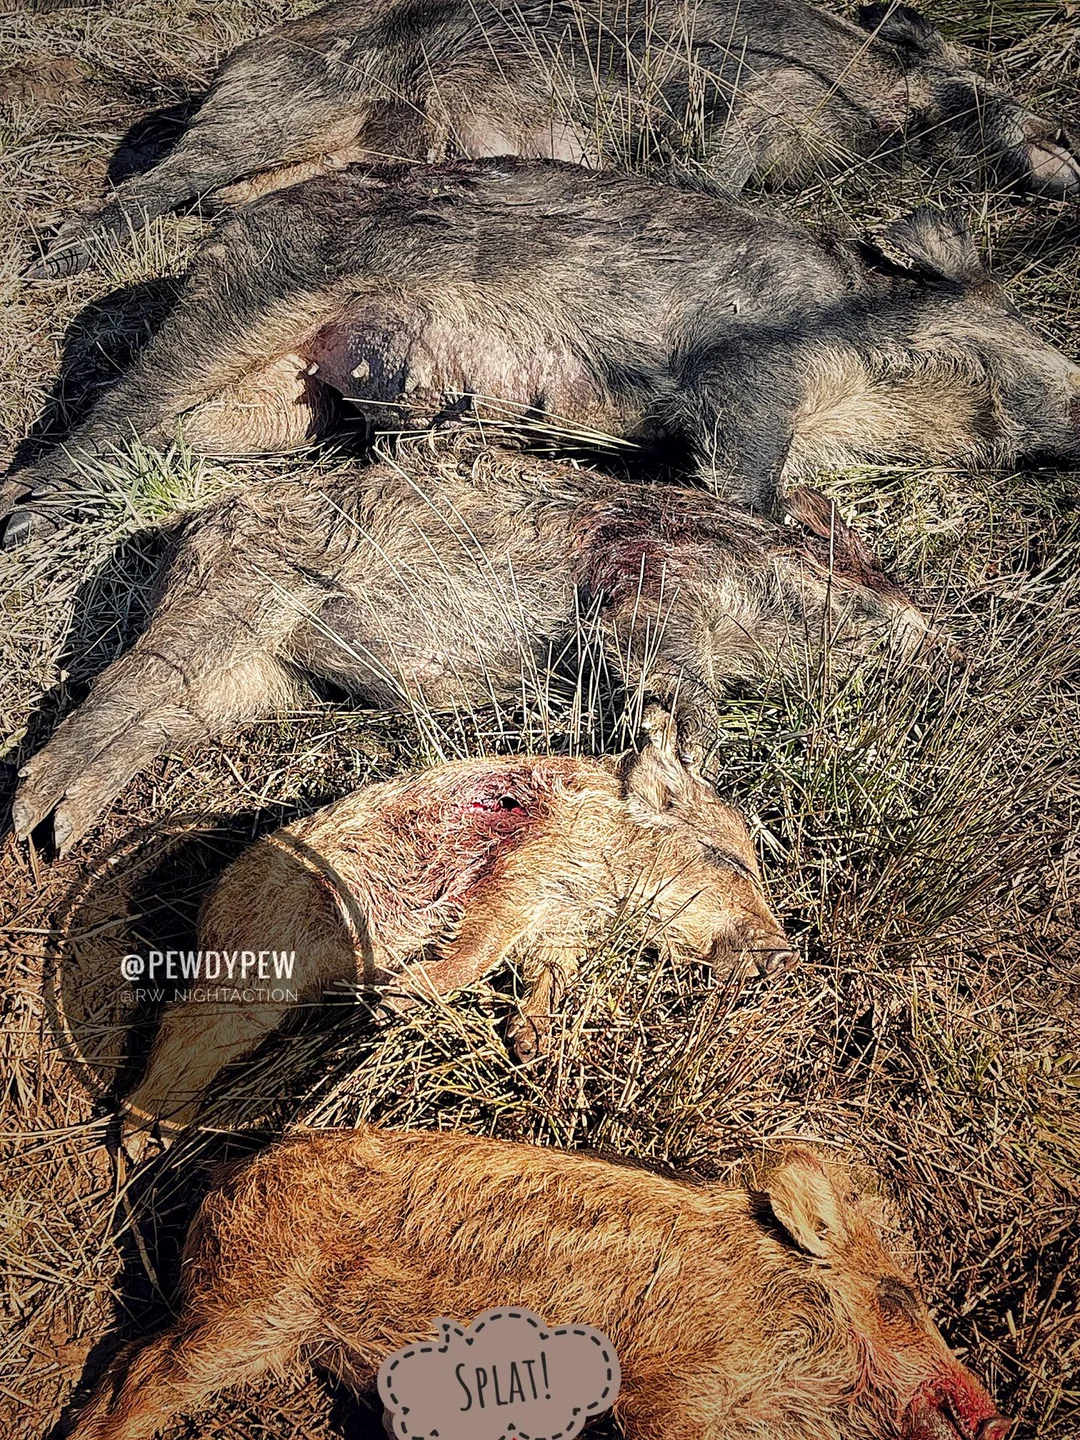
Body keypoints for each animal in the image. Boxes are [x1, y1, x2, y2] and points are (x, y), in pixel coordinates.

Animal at [6, 159, 1080, 547]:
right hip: (257, 293)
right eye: (1059, 357)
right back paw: (23, 525)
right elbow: (742, 460)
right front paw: (784, 518)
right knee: (105, 419)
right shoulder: (752, 356)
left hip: (275, 411)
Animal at [10, 437, 935, 857]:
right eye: (863, 590)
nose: (944, 650)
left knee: (158, 724)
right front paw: (682, 756)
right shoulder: (643, 583)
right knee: (122, 687)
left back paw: (65, 834)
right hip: (235, 600)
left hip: (258, 681)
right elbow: (669, 669)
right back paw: (31, 828)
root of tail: (184, 527)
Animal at [25, 0, 1080, 279]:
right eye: (978, 90)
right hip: (279, 102)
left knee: (225, 198)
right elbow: (720, 173)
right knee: (158, 184)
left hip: (361, 142)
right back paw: (57, 259)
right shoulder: (764, 99)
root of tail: (232, 61)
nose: (1061, 138)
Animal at [62, 1126, 1013, 1440]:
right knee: (141, 1380)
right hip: (251, 1306)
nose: (996, 1416)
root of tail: (222, 1181)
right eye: (899, 1298)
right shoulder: (672, 1394)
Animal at [119, 708, 794, 1151]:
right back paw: (142, 1144)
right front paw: (393, 1002)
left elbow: (543, 988)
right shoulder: (513, 879)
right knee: (175, 1030)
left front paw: (539, 1055)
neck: (604, 876)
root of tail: (209, 906)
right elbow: (475, 952)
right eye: (732, 859)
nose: (786, 954)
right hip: (257, 974)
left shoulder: (555, 936)